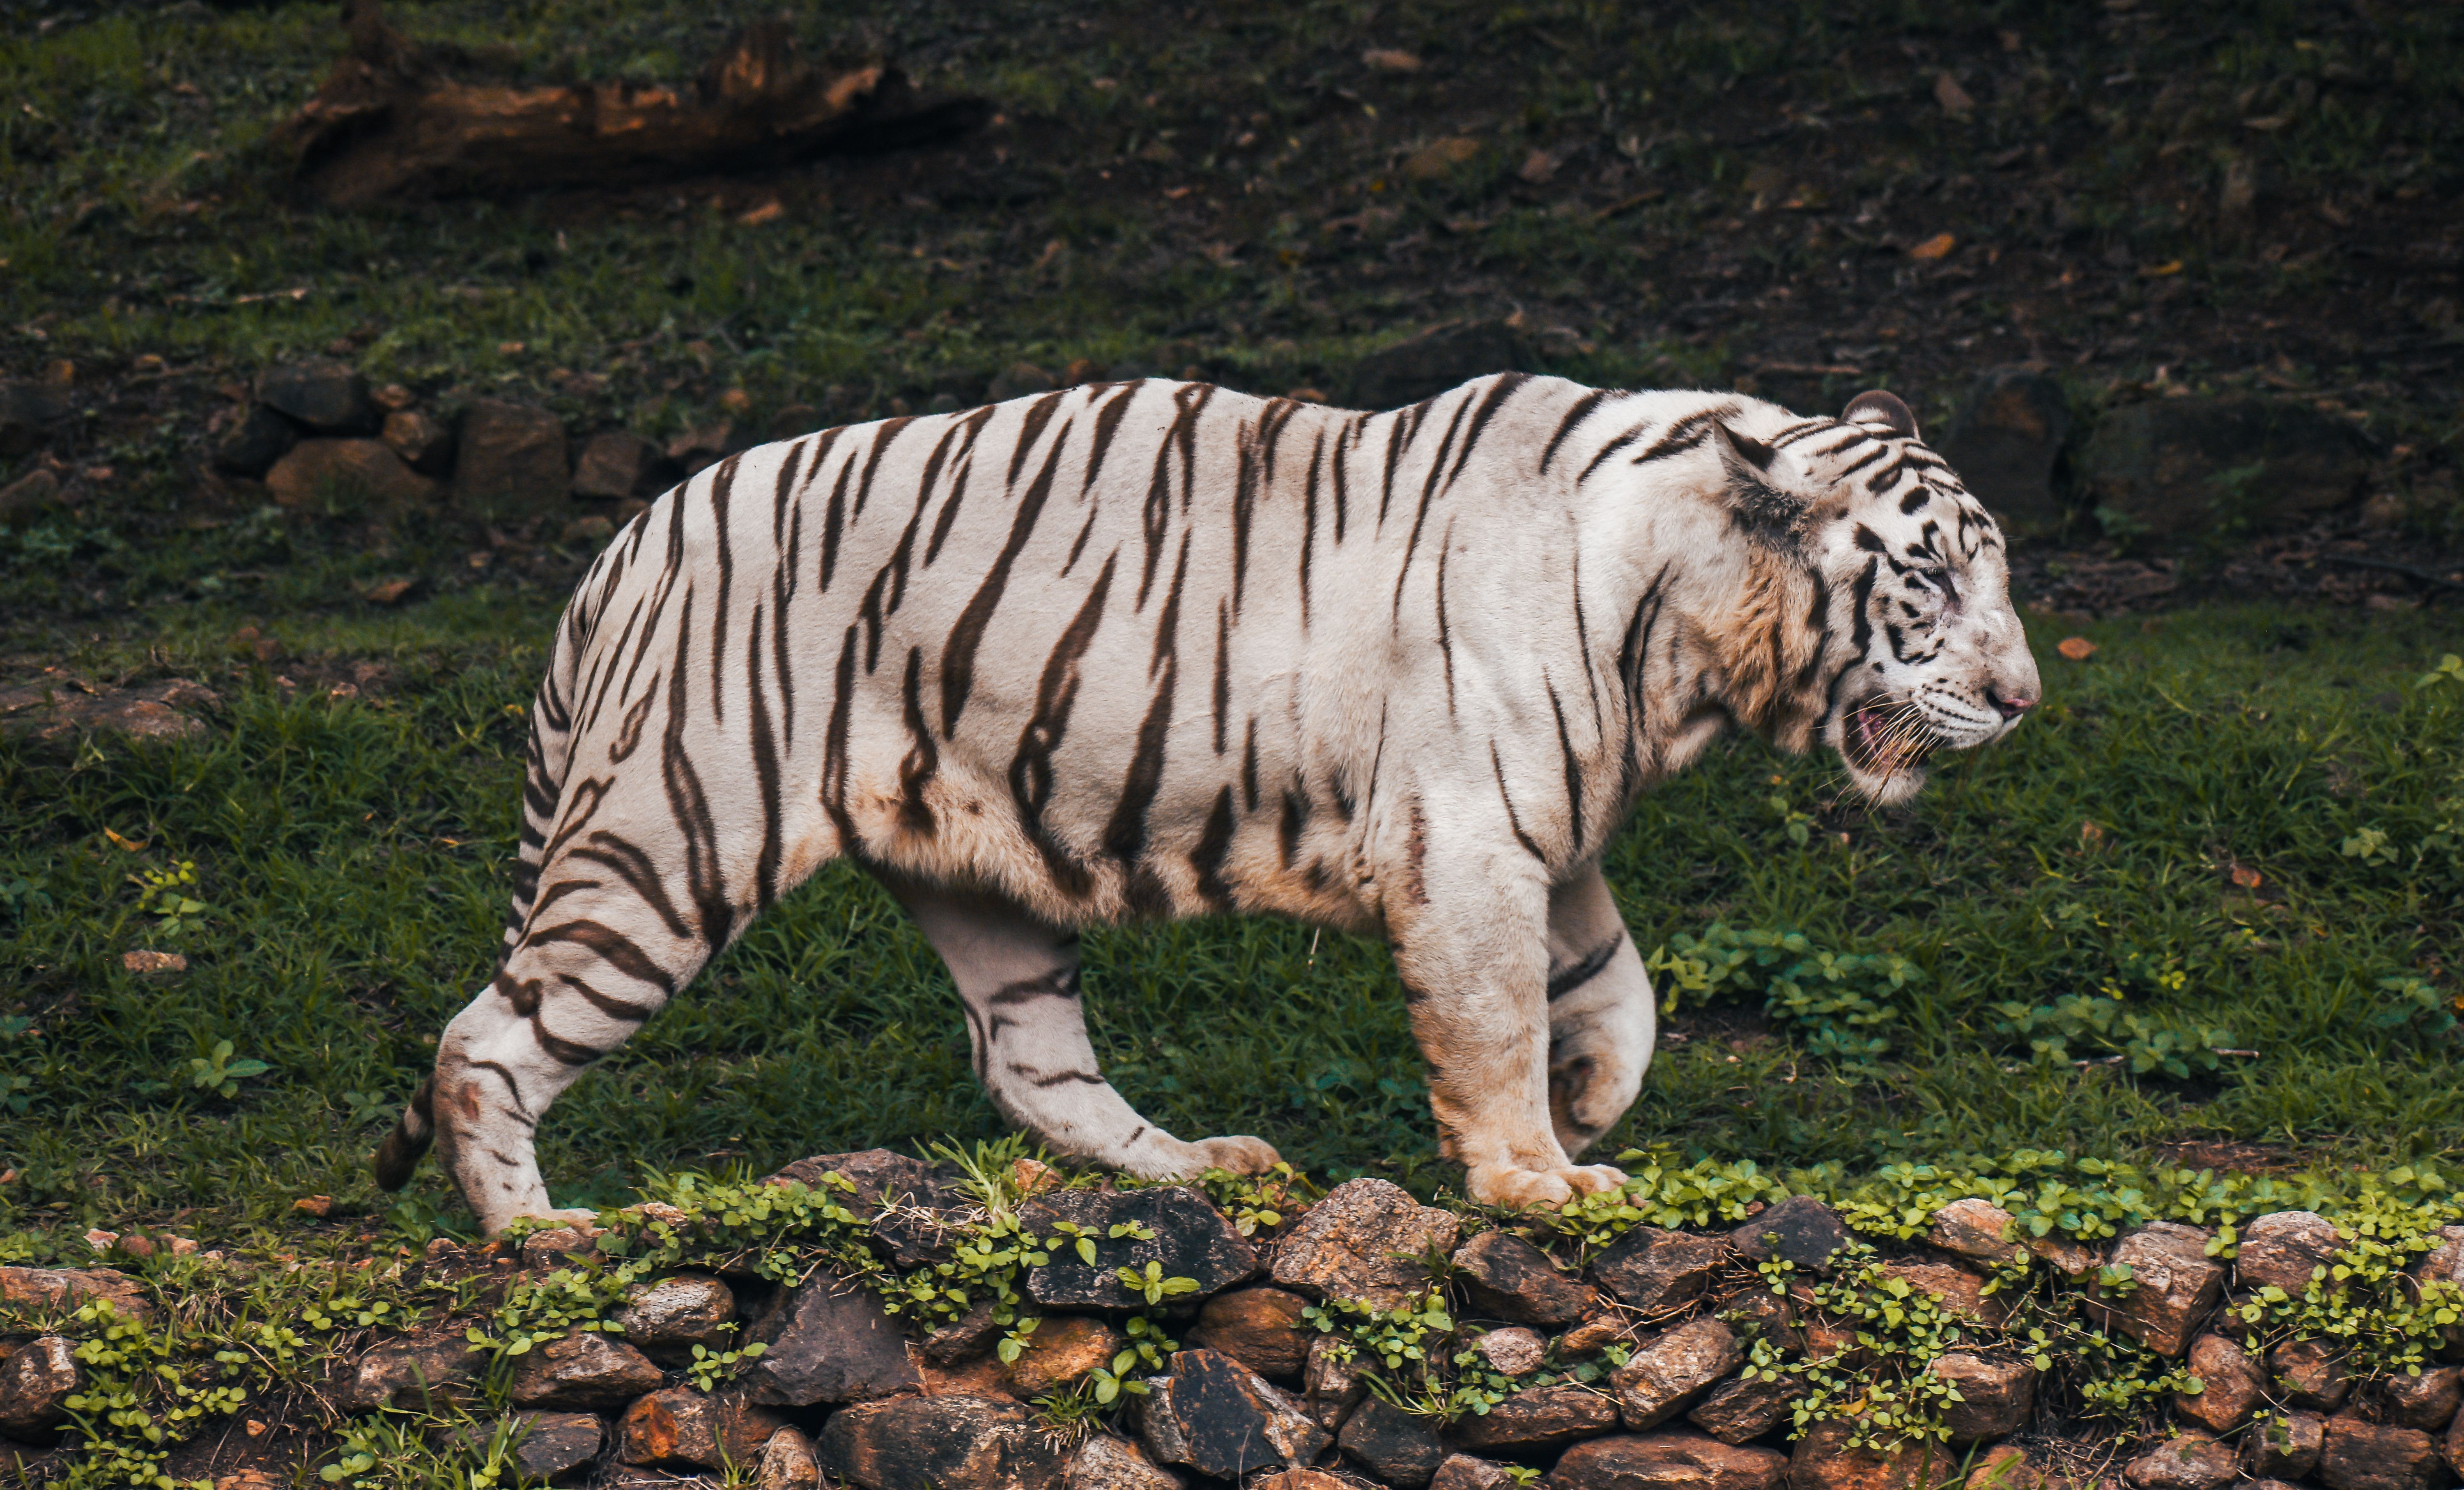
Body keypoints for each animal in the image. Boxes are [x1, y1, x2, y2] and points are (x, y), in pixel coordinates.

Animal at [374, 373, 2040, 1234]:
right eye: (1930, 576)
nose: (2025, 695)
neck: (1683, 639)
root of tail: (620, 547)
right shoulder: (1471, 834)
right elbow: (1495, 1014)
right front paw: (1533, 1177)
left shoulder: (1546, 834)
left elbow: (1616, 988)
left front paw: (1586, 1106)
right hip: (666, 844)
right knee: (488, 1036)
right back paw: (537, 1231)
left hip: (981, 887)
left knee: (1029, 1068)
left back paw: (1200, 1164)